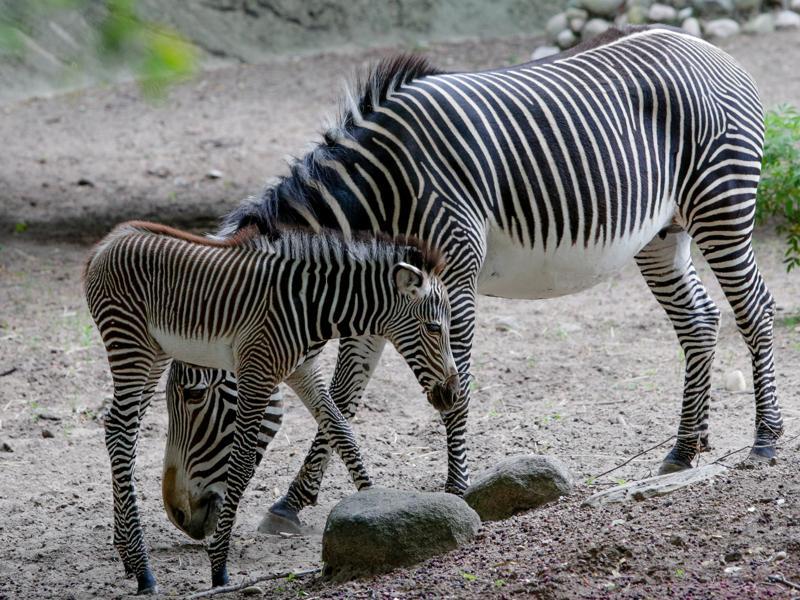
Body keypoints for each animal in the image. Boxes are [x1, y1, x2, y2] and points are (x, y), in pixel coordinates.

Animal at [83, 221, 458, 593]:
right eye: (434, 328)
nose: (451, 393)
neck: (312, 306)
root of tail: (108, 242)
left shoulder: (303, 371)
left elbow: (342, 433)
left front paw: (379, 514)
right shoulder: (257, 374)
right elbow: (240, 463)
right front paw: (219, 566)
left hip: (154, 353)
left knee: (122, 431)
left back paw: (130, 558)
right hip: (130, 344)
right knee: (120, 431)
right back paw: (144, 571)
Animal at [164, 24, 784, 537]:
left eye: (195, 396)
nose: (179, 517)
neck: (382, 191)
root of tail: (709, 49)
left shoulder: (454, 276)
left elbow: (454, 384)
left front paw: (458, 491)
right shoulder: (374, 294)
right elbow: (341, 399)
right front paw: (291, 504)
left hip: (722, 203)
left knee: (755, 308)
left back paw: (766, 440)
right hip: (662, 232)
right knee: (699, 320)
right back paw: (683, 450)